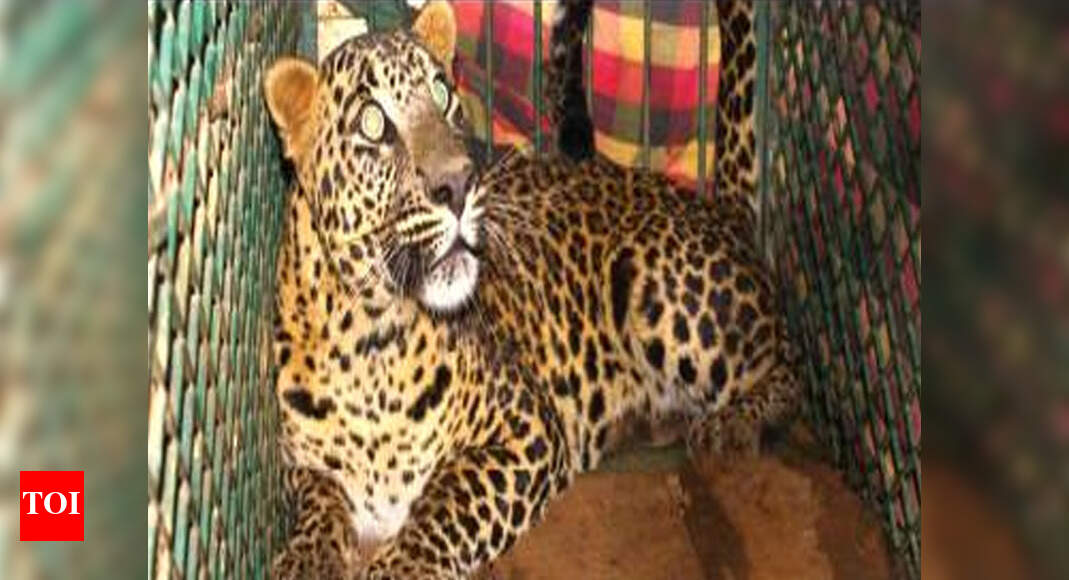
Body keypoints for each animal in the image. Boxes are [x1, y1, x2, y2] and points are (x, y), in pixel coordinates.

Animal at [264, 1, 799, 578]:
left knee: (788, 364)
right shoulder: (297, 461)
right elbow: (319, 500)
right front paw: (306, 557)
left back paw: (733, 423)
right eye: (372, 122)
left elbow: (445, 505)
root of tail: (717, 206)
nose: (460, 183)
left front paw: (397, 565)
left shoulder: (525, 429)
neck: (369, 338)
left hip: (657, 279)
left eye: (442, 94)